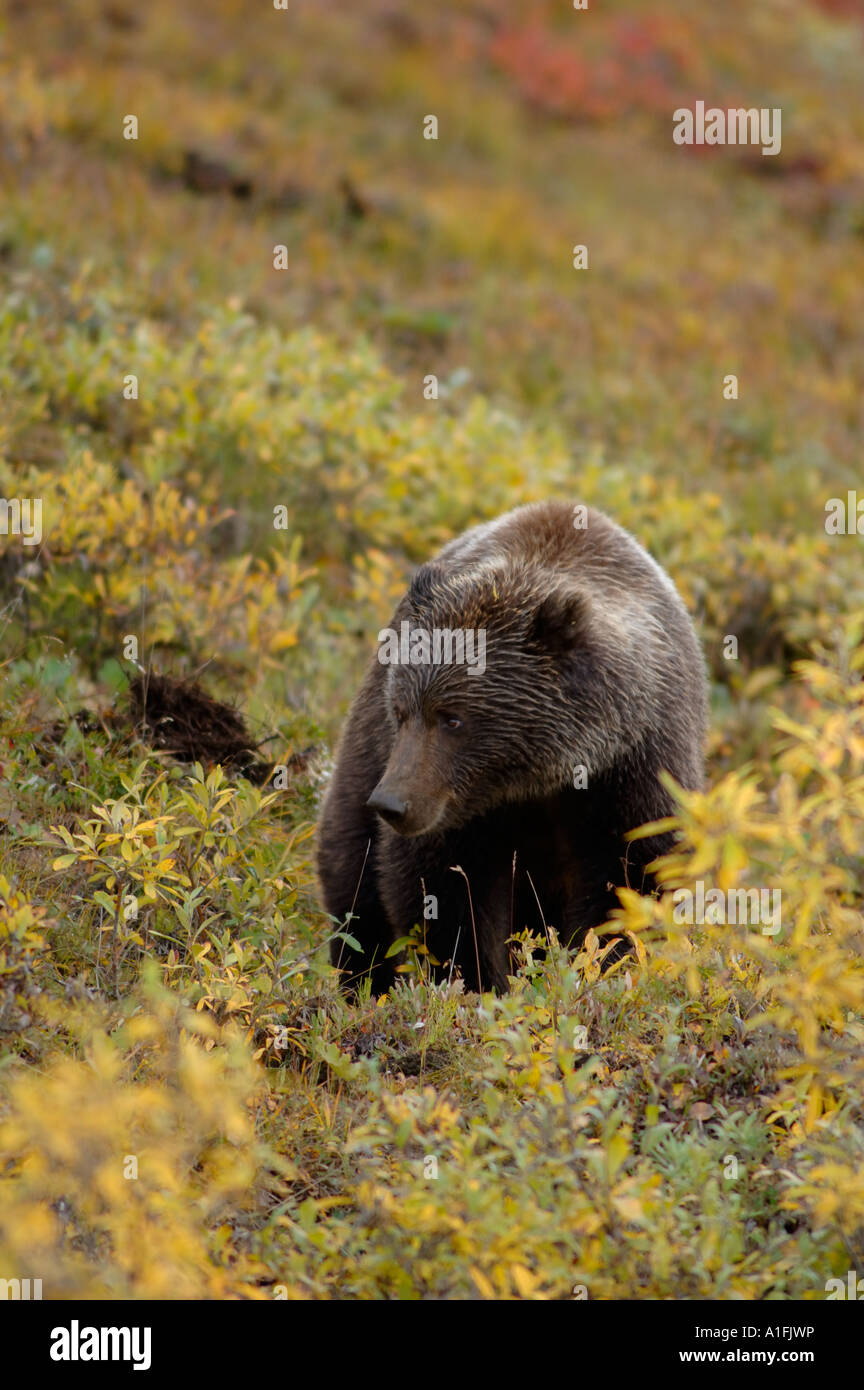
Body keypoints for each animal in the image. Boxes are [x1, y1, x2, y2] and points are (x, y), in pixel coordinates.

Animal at [317, 500, 707, 995]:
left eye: (453, 718)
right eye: (401, 711)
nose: (392, 803)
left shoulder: (638, 765)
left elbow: (633, 878)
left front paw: (600, 967)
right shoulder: (459, 806)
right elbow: (443, 890)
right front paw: (475, 982)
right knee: (352, 875)